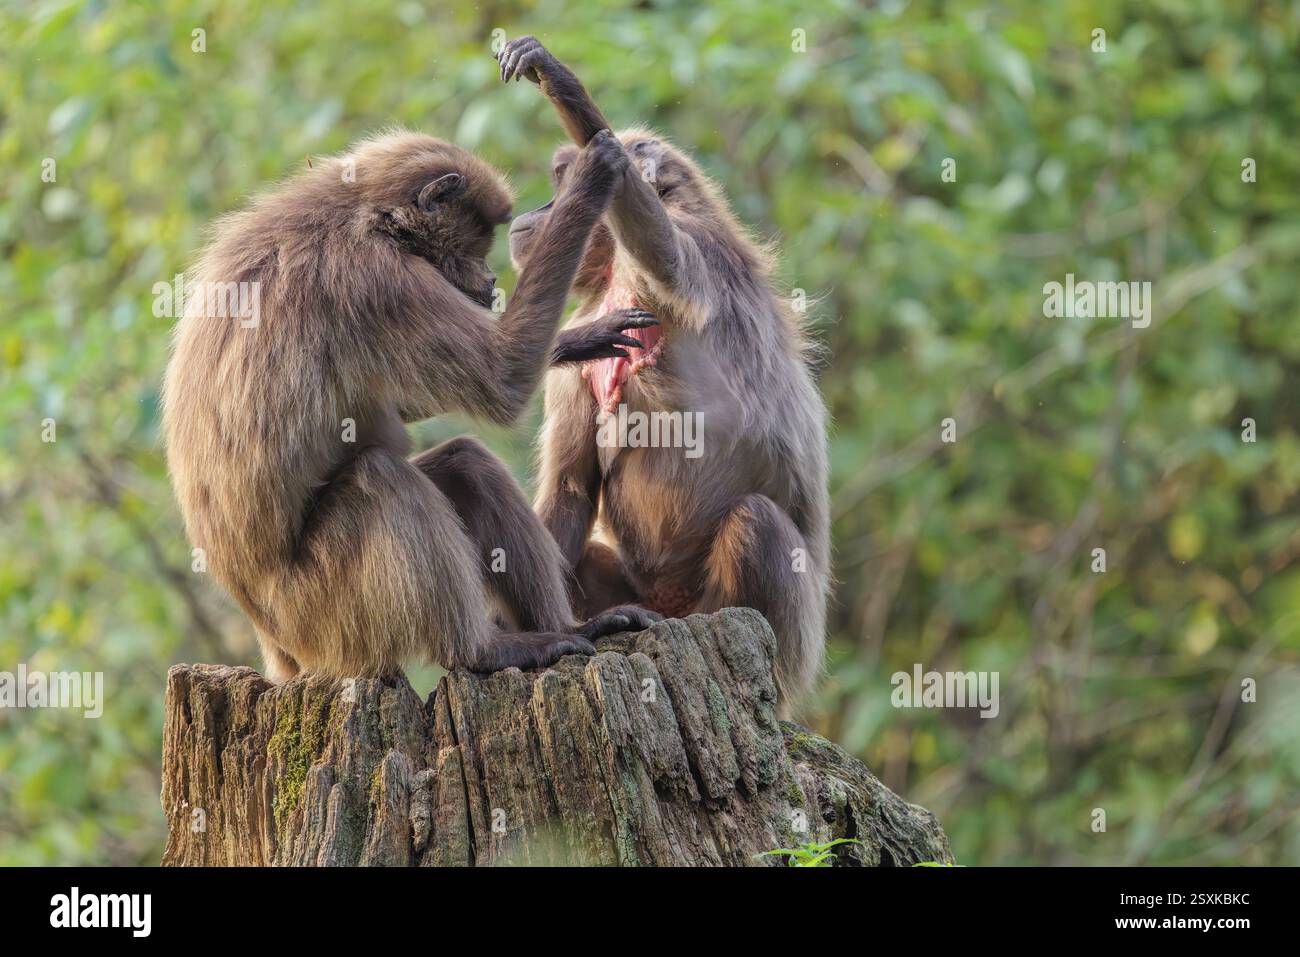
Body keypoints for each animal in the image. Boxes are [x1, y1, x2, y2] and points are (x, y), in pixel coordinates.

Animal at [160, 127, 660, 684]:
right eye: (479, 243)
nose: (490, 281)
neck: (356, 216)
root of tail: (273, 642)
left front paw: (576, 341)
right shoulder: (378, 279)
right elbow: (502, 380)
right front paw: (590, 182)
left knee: (465, 463)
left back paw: (570, 627)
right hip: (320, 614)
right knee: (382, 478)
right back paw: (482, 651)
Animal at [496, 38, 831, 711]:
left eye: (563, 181)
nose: (540, 208)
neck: (615, 280)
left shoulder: (700, 250)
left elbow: (665, 252)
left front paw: (564, 86)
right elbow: (572, 487)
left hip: (787, 641)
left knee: (756, 523)